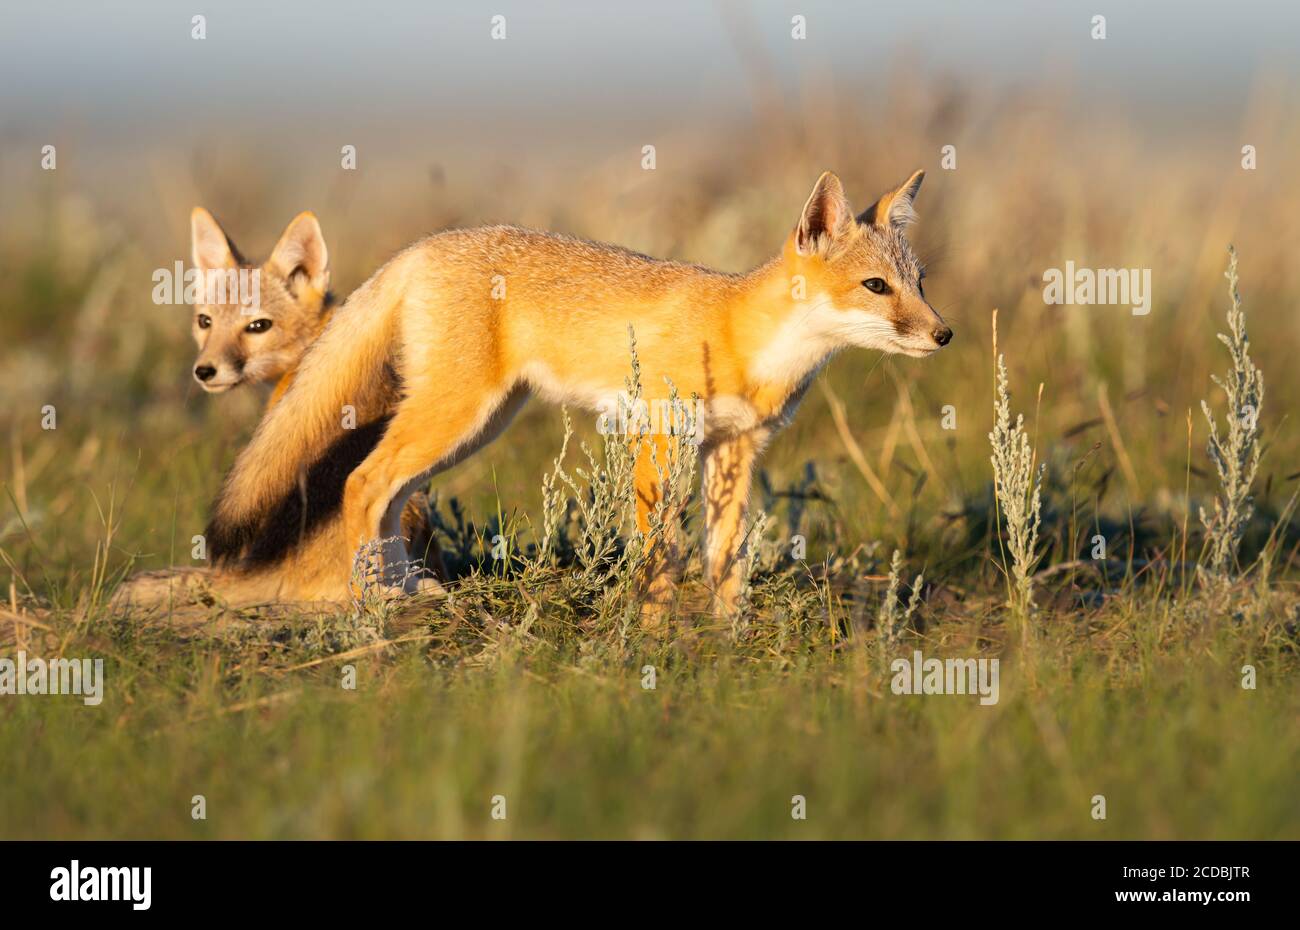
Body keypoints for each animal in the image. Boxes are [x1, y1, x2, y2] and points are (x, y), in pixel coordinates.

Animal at [203, 170, 950, 619]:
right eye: (876, 287)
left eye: (918, 283)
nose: (943, 333)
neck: (746, 338)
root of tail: (423, 247)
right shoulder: (658, 437)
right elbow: (659, 553)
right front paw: (653, 636)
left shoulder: (735, 449)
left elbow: (725, 558)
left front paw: (728, 635)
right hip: (459, 415)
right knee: (362, 481)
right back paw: (375, 603)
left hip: (479, 424)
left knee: (385, 493)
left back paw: (404, 589)